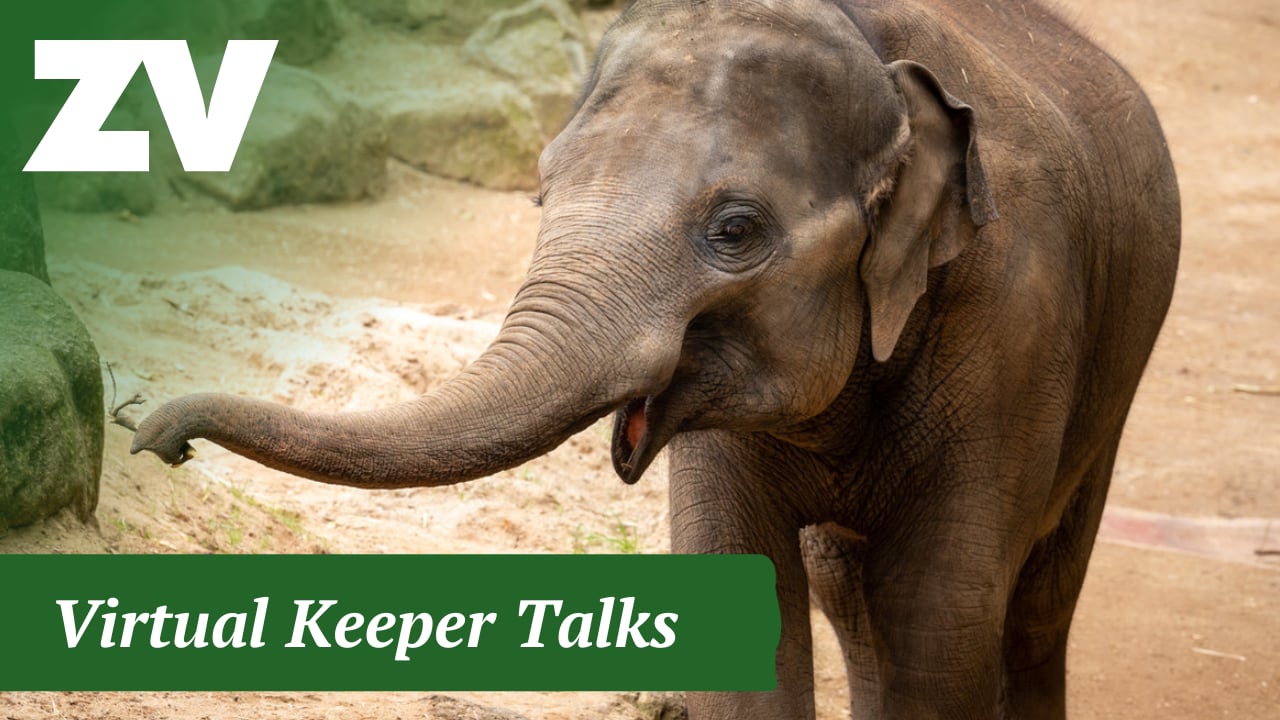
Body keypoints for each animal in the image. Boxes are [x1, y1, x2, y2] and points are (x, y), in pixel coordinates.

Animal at [133, 0, 1181, 717]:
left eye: (735, 230)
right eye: (541, 192)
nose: (154, 435)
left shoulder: (1015, 326)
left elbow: (945, 614)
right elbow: (744, 599)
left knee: (1032, 606)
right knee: (851, 595)